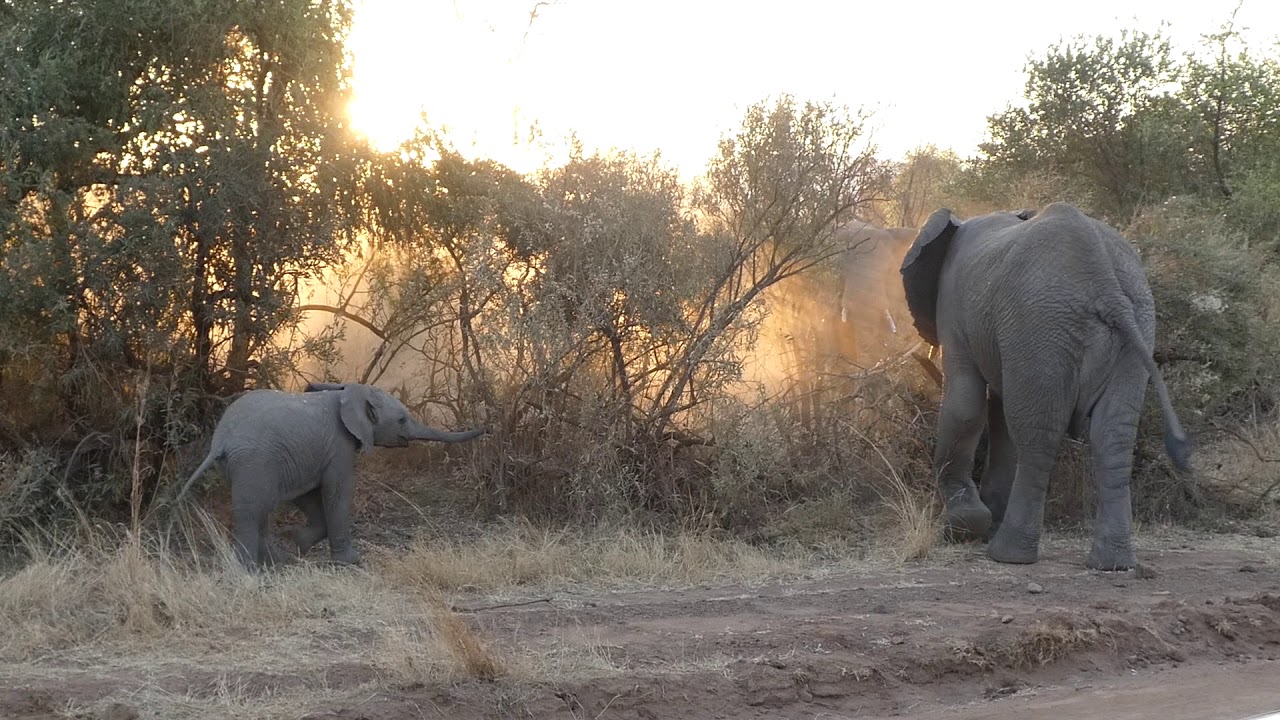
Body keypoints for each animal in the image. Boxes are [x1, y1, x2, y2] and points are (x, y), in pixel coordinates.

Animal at [172, 382, 486, 569]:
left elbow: (307, 494)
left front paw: (300, 545)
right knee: (252, 511)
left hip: (242, 465)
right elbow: (337, 491)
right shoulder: (339, 445)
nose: (488, 427)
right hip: (254, 460)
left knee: (261, 508)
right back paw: (249, 570)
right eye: (402, 420)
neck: (348, 391)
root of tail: (221, 440)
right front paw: (351, 561)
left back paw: (279, 561)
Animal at [899, 202, 1191, 570]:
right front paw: (986, 517)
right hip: (1133, 320)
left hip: (1039, 323)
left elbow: (966, 405)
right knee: (1113, 435)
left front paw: (966, 525)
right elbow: (999, 412)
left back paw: (1007, 555)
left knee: (1038, 435)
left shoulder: (955, 312)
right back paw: (1112, 563)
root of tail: (1104, 279)